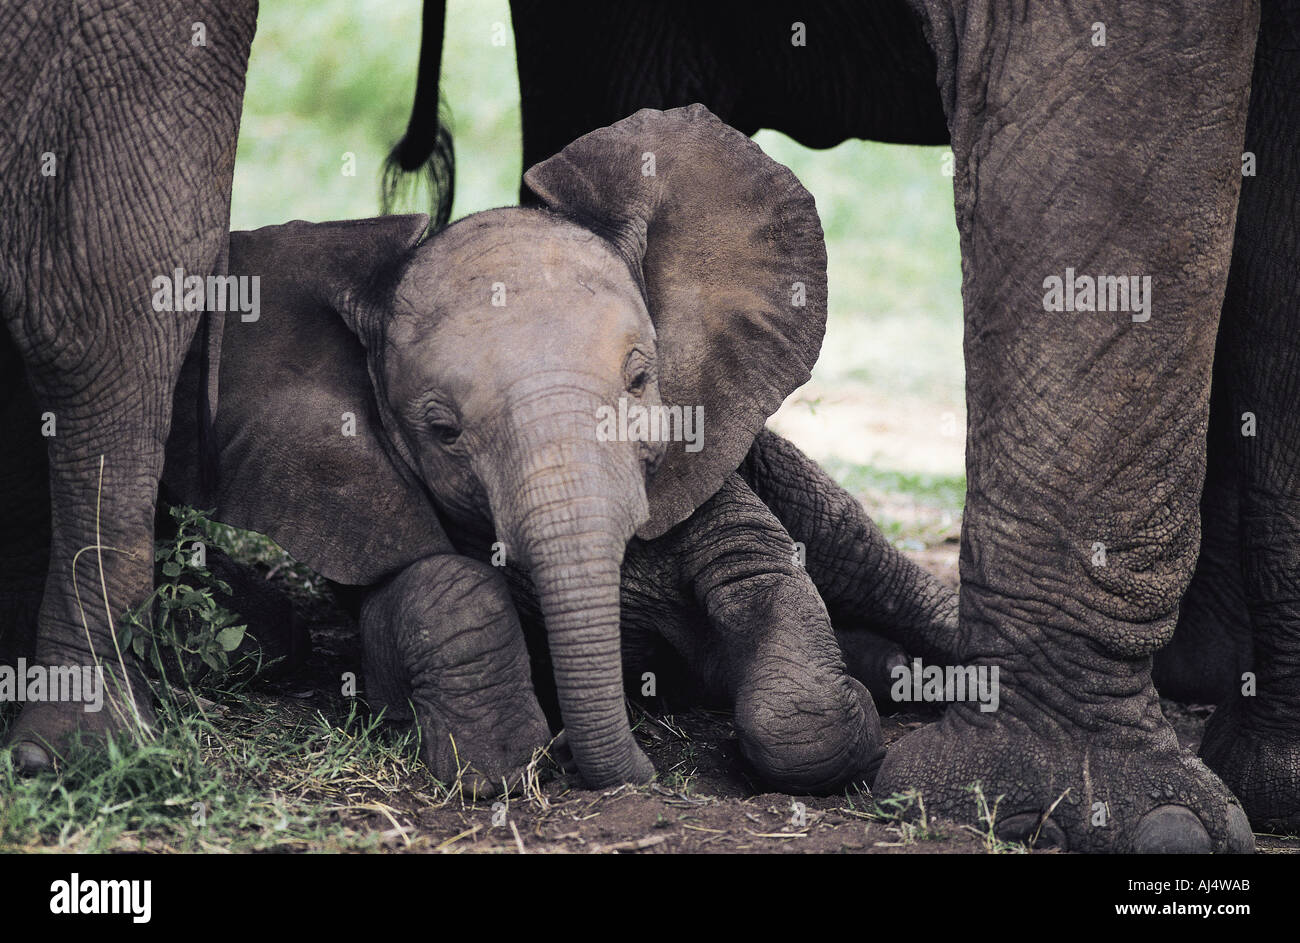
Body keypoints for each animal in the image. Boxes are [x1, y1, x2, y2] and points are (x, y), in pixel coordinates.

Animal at [161, 106, 959, 794]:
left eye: (640, 378)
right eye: (443, 431)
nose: (608, 759)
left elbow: (765, 577)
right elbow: (426, 591)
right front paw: (501, 763)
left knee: (862, 560)